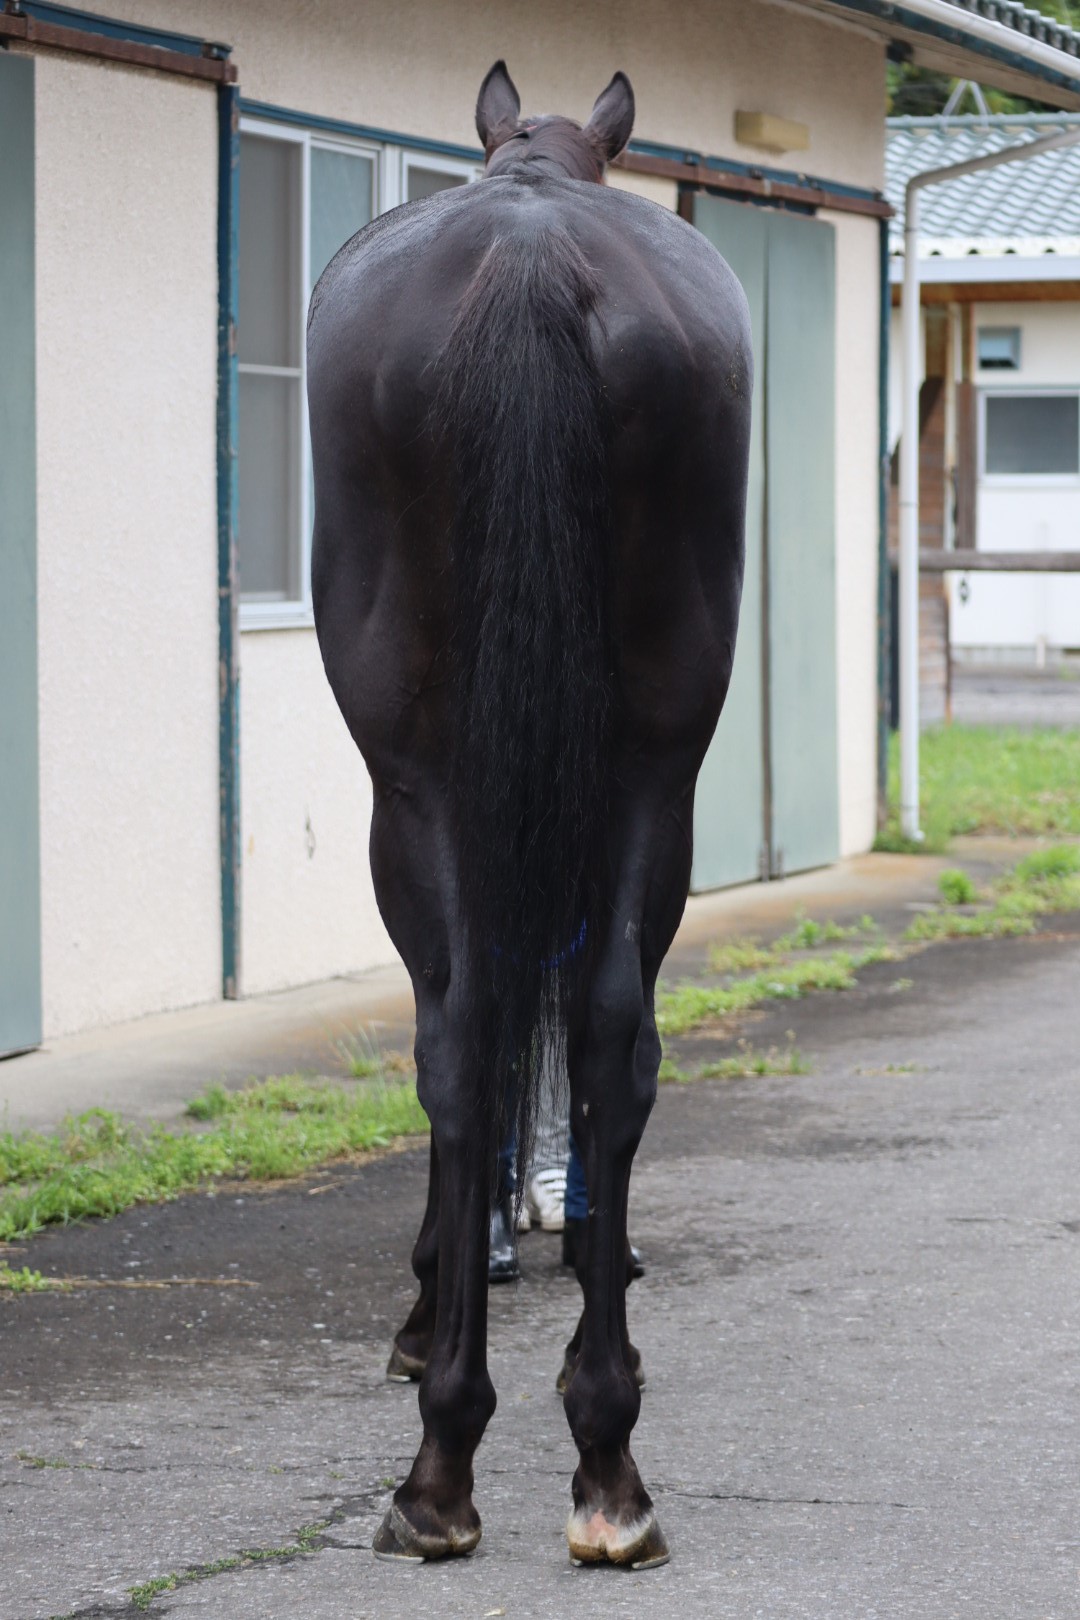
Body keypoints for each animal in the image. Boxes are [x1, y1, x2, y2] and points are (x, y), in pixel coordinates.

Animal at [307, 60, 751, 1570]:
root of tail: (534, 257)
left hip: (415, 790)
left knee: (458, 1034)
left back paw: (441, 1463)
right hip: (659, 765)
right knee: (612, 1028)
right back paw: (607, 1453)